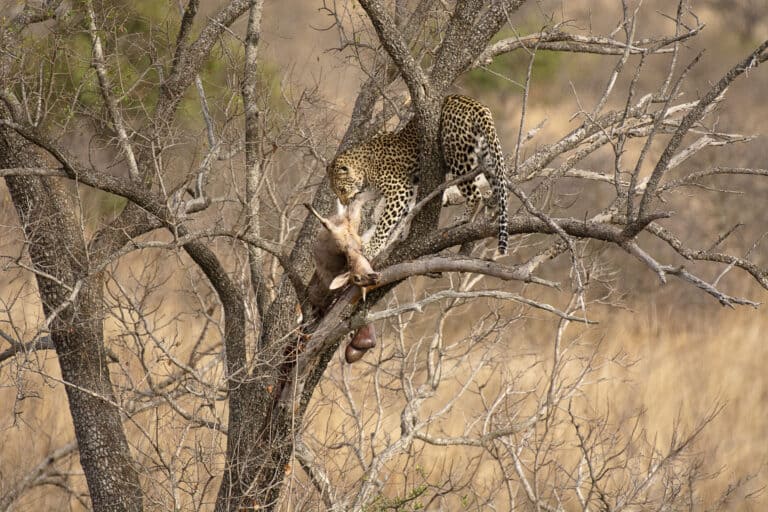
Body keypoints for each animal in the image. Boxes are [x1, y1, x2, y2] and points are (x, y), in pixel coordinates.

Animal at [327, 95, 509, 257]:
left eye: (342, 190)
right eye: (337, 192)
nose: (344, 202)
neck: (364, 166)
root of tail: (477, 105)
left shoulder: (399, 190)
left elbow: (385, 222)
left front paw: (372, 249)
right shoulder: (391, 187)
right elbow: (366, 199)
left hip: (457, 156)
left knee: (474, 193)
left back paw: (464, 218)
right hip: (487, 154)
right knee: (499, 182)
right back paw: (493, 202)